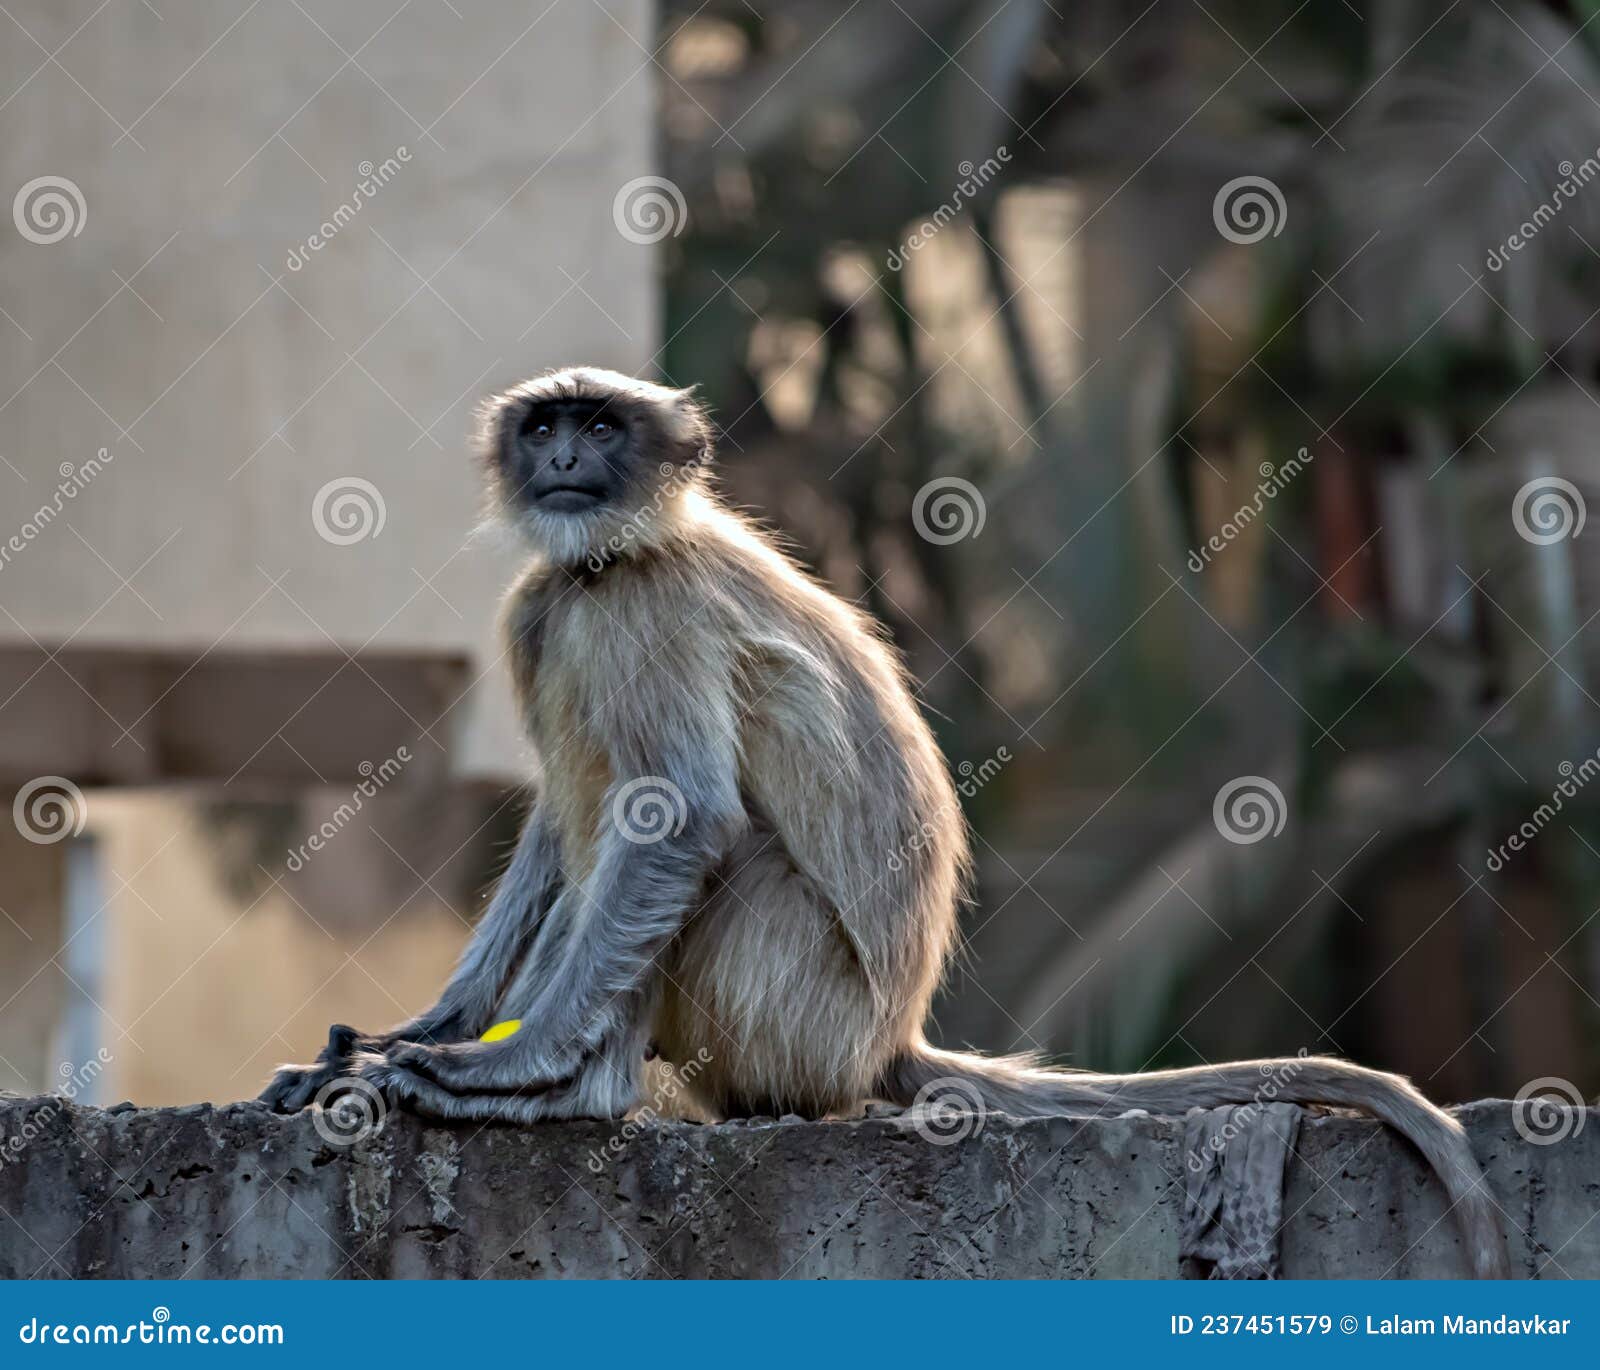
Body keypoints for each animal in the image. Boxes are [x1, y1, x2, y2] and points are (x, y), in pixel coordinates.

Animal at [260, 366, 1508, 1279]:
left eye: (603, 426)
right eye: (547, 426)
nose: (565, 458)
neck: (631, 546)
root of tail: (889, 1036)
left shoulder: (640, 602)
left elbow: (676, 819)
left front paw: (508, 1067)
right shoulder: (548, 606)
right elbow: (560, 838)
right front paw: (430, 1026)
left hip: (796, 1007)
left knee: (703, 841)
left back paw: (583, 1089)